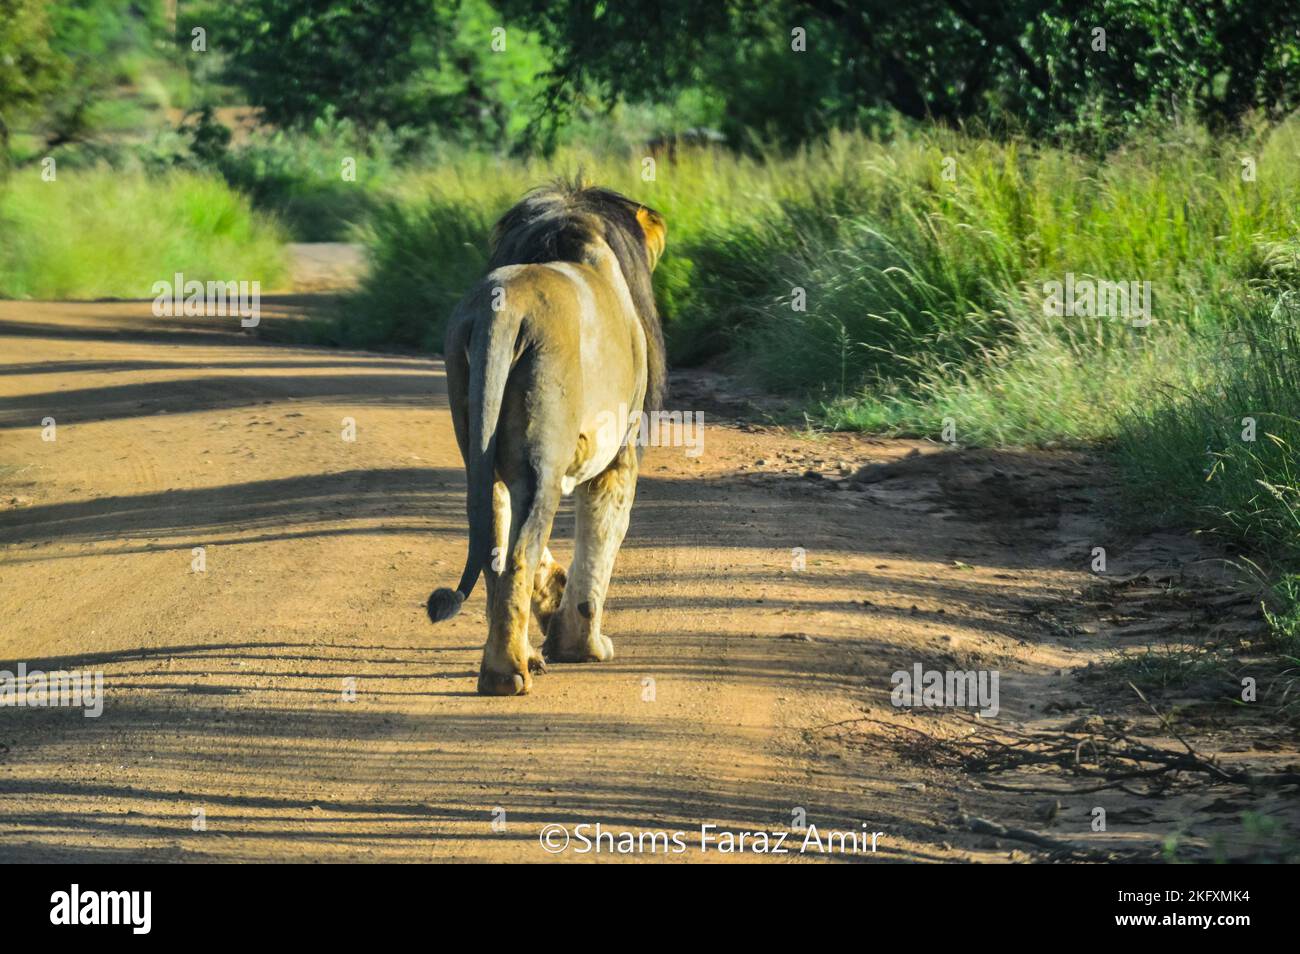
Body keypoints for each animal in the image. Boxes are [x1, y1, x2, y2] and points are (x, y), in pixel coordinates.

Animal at [427, 181, 667, 696]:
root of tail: (502, 311)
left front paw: (552, 599)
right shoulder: (619, 457)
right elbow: (600, 544)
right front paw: (583, 646)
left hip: (481, 444)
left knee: (496, 545)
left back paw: (520, 658)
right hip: (544, 455)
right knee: (521, 550)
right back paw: (507, 673)